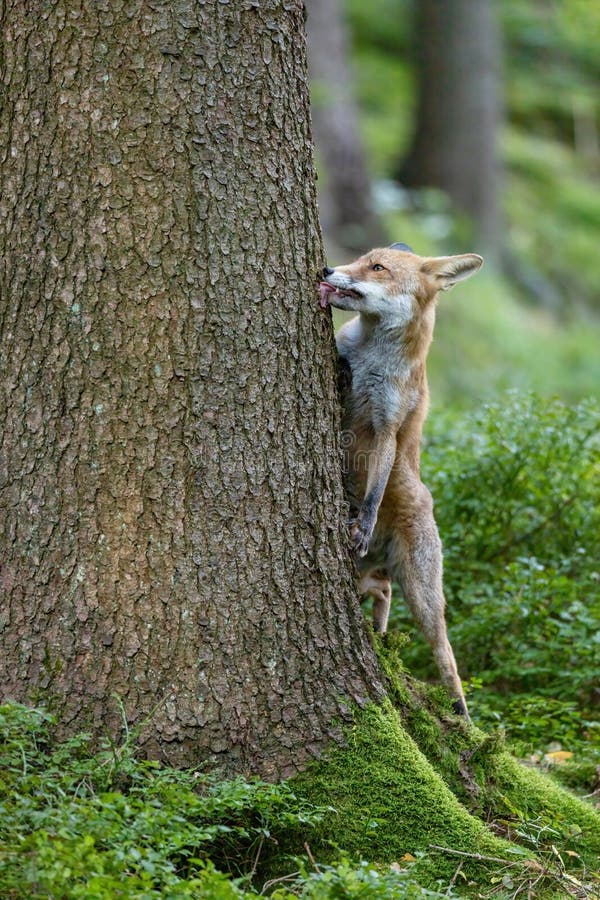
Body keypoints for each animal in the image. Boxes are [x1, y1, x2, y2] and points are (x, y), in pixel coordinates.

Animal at [319, 242, 483, 718]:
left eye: (377, 268)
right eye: (359, 258)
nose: (326, 269)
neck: (371, 358)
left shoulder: (387, 427)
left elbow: (375, 490)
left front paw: (365, 520)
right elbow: (341, 374)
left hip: (423, 595)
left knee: (446, 653)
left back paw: (463, 716)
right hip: (369, 577)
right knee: (381, 591)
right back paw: (378, 632)